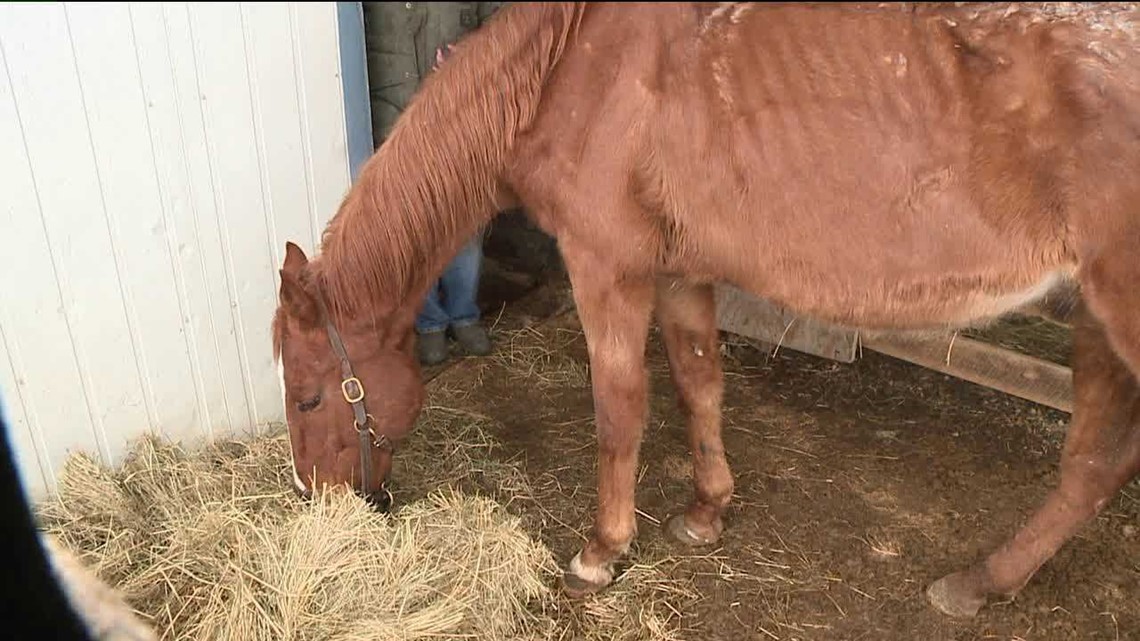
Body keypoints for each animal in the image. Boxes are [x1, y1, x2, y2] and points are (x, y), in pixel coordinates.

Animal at [271, 2, 1140, 619]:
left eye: (310, 396)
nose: (318, 500)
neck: (563, 74)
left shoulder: (607, 269)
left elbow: (620, 410)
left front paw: (601, 550)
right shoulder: (679, 271)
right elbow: (699, 385)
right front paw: (706, 510)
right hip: (1097, 325)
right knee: (1092, 470)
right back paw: (982, 581)